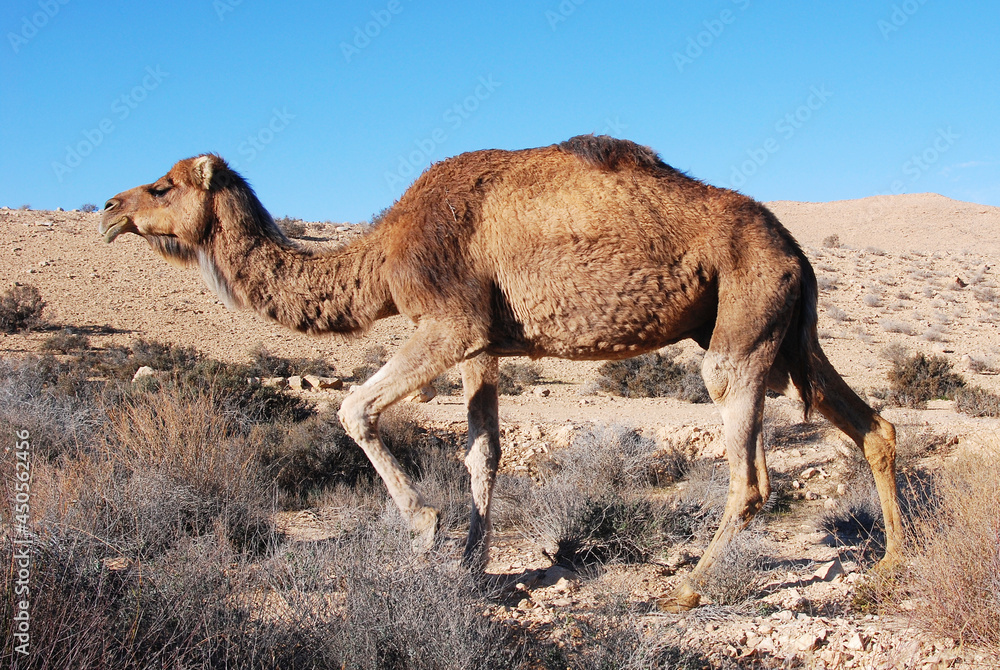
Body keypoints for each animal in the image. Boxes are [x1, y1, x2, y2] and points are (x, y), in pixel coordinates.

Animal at [100, 135, 903, 610]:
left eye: (165, 185)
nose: (109, 208)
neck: (383, 253)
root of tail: (794, 249)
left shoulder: (448, 320)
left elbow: (353, 410)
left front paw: (425, 529)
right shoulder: (483, 342)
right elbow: (482, 453)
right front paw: (471, 567)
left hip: (742, 325)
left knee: (752, 476)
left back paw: (686, 591)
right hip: (787, 331)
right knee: (873, 427)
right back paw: (892, 564)